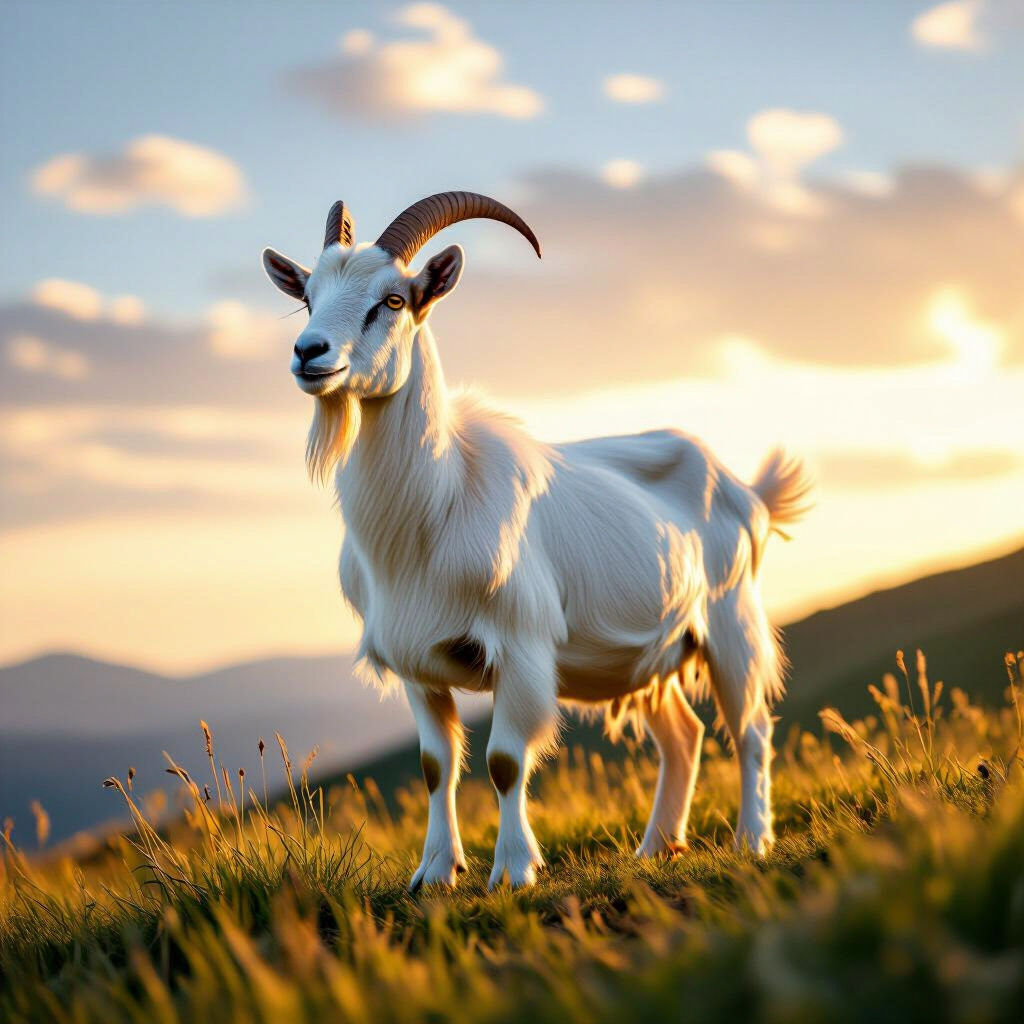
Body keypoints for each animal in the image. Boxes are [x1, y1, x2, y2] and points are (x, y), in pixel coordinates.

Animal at [262, 192, 813, 889]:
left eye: (392, 299)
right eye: (308, 296)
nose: (310, 353)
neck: (433, 510)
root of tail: (748, 491)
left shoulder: (520, 647)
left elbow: (504, 761)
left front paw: (514, 871)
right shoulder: (418, 664)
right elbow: (435, 767)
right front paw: (434, 873)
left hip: (732, 621)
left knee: (750, 728)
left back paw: (752, 839)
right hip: (651, 653)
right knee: (682, 735)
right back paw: (657, 847)